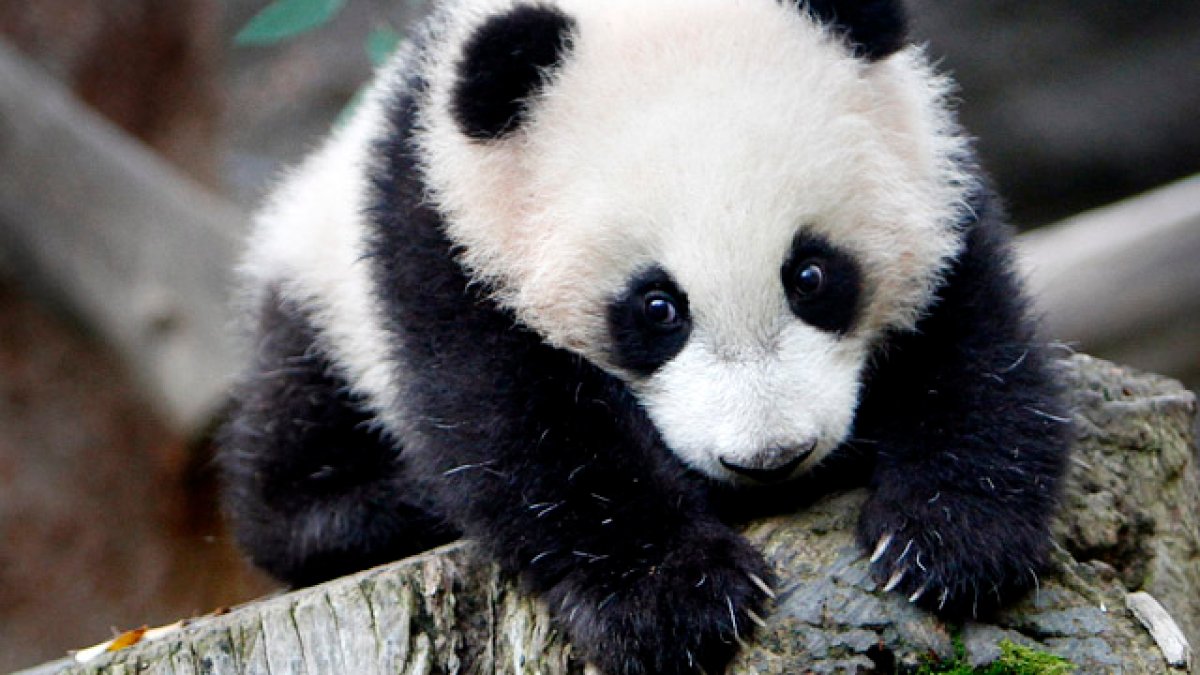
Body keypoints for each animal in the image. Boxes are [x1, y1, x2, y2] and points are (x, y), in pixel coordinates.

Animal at [219, 0, 1072, 673]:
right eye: (657, 307)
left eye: (812, 274)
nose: (771, 459)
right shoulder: (440, 227)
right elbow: (521, 421)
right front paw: (675, 599)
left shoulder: (933, 175)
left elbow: (976, 344)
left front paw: (950, 541)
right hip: (317, 293)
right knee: (292, 443)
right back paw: (393, 502)